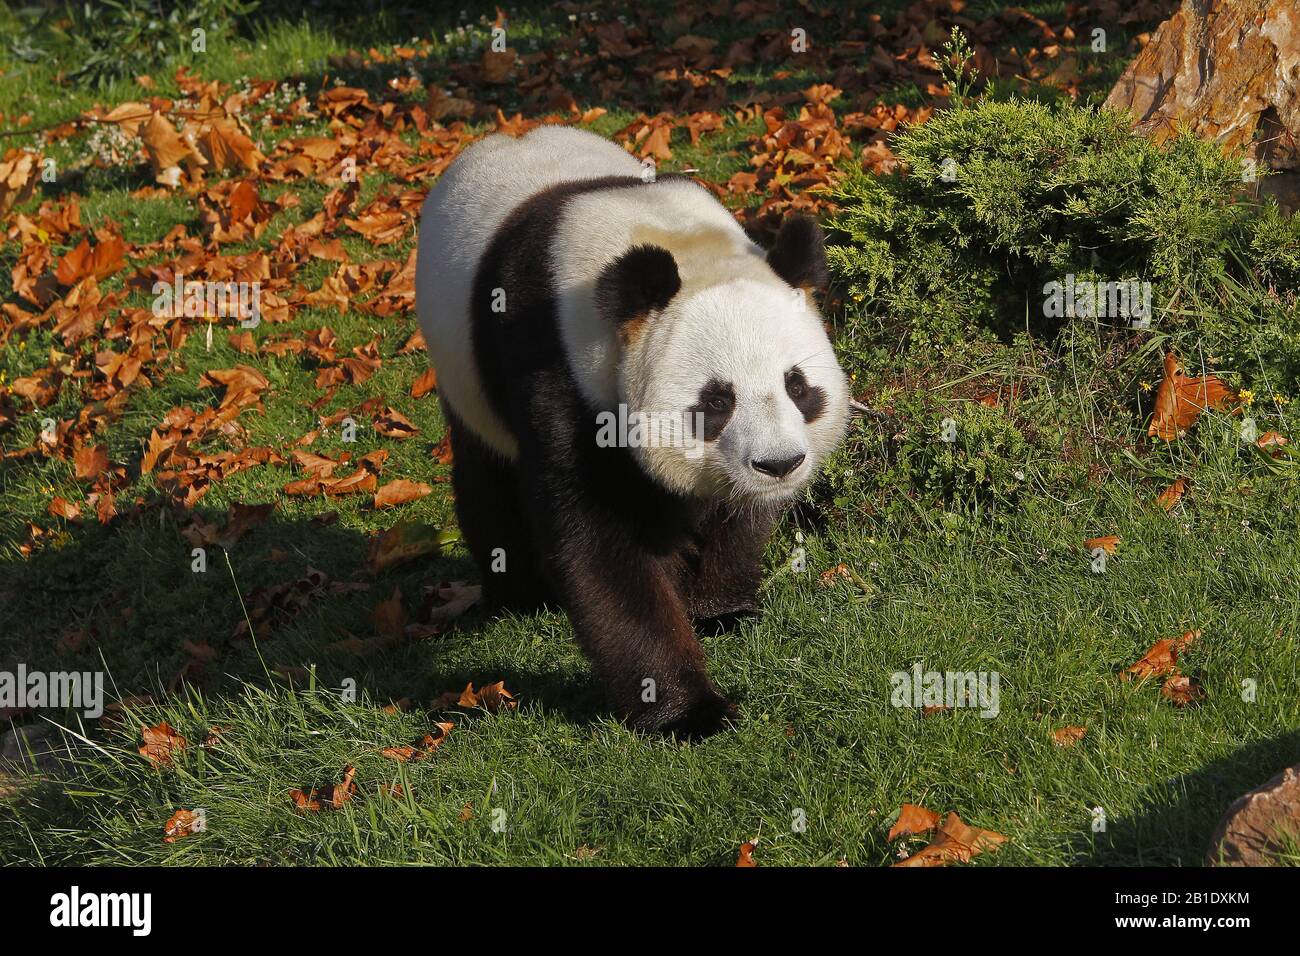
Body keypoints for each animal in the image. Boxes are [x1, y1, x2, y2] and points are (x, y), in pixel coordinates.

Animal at [415, 125, 849, 737]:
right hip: (463, 373)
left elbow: (739, 515)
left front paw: (721, 611)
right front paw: (690, 713)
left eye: (797, 386)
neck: (668, 235)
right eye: (715, 402)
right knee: (487, 482)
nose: (780, 464)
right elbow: (604, 546)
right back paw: (520, 595)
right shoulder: (563, 373)